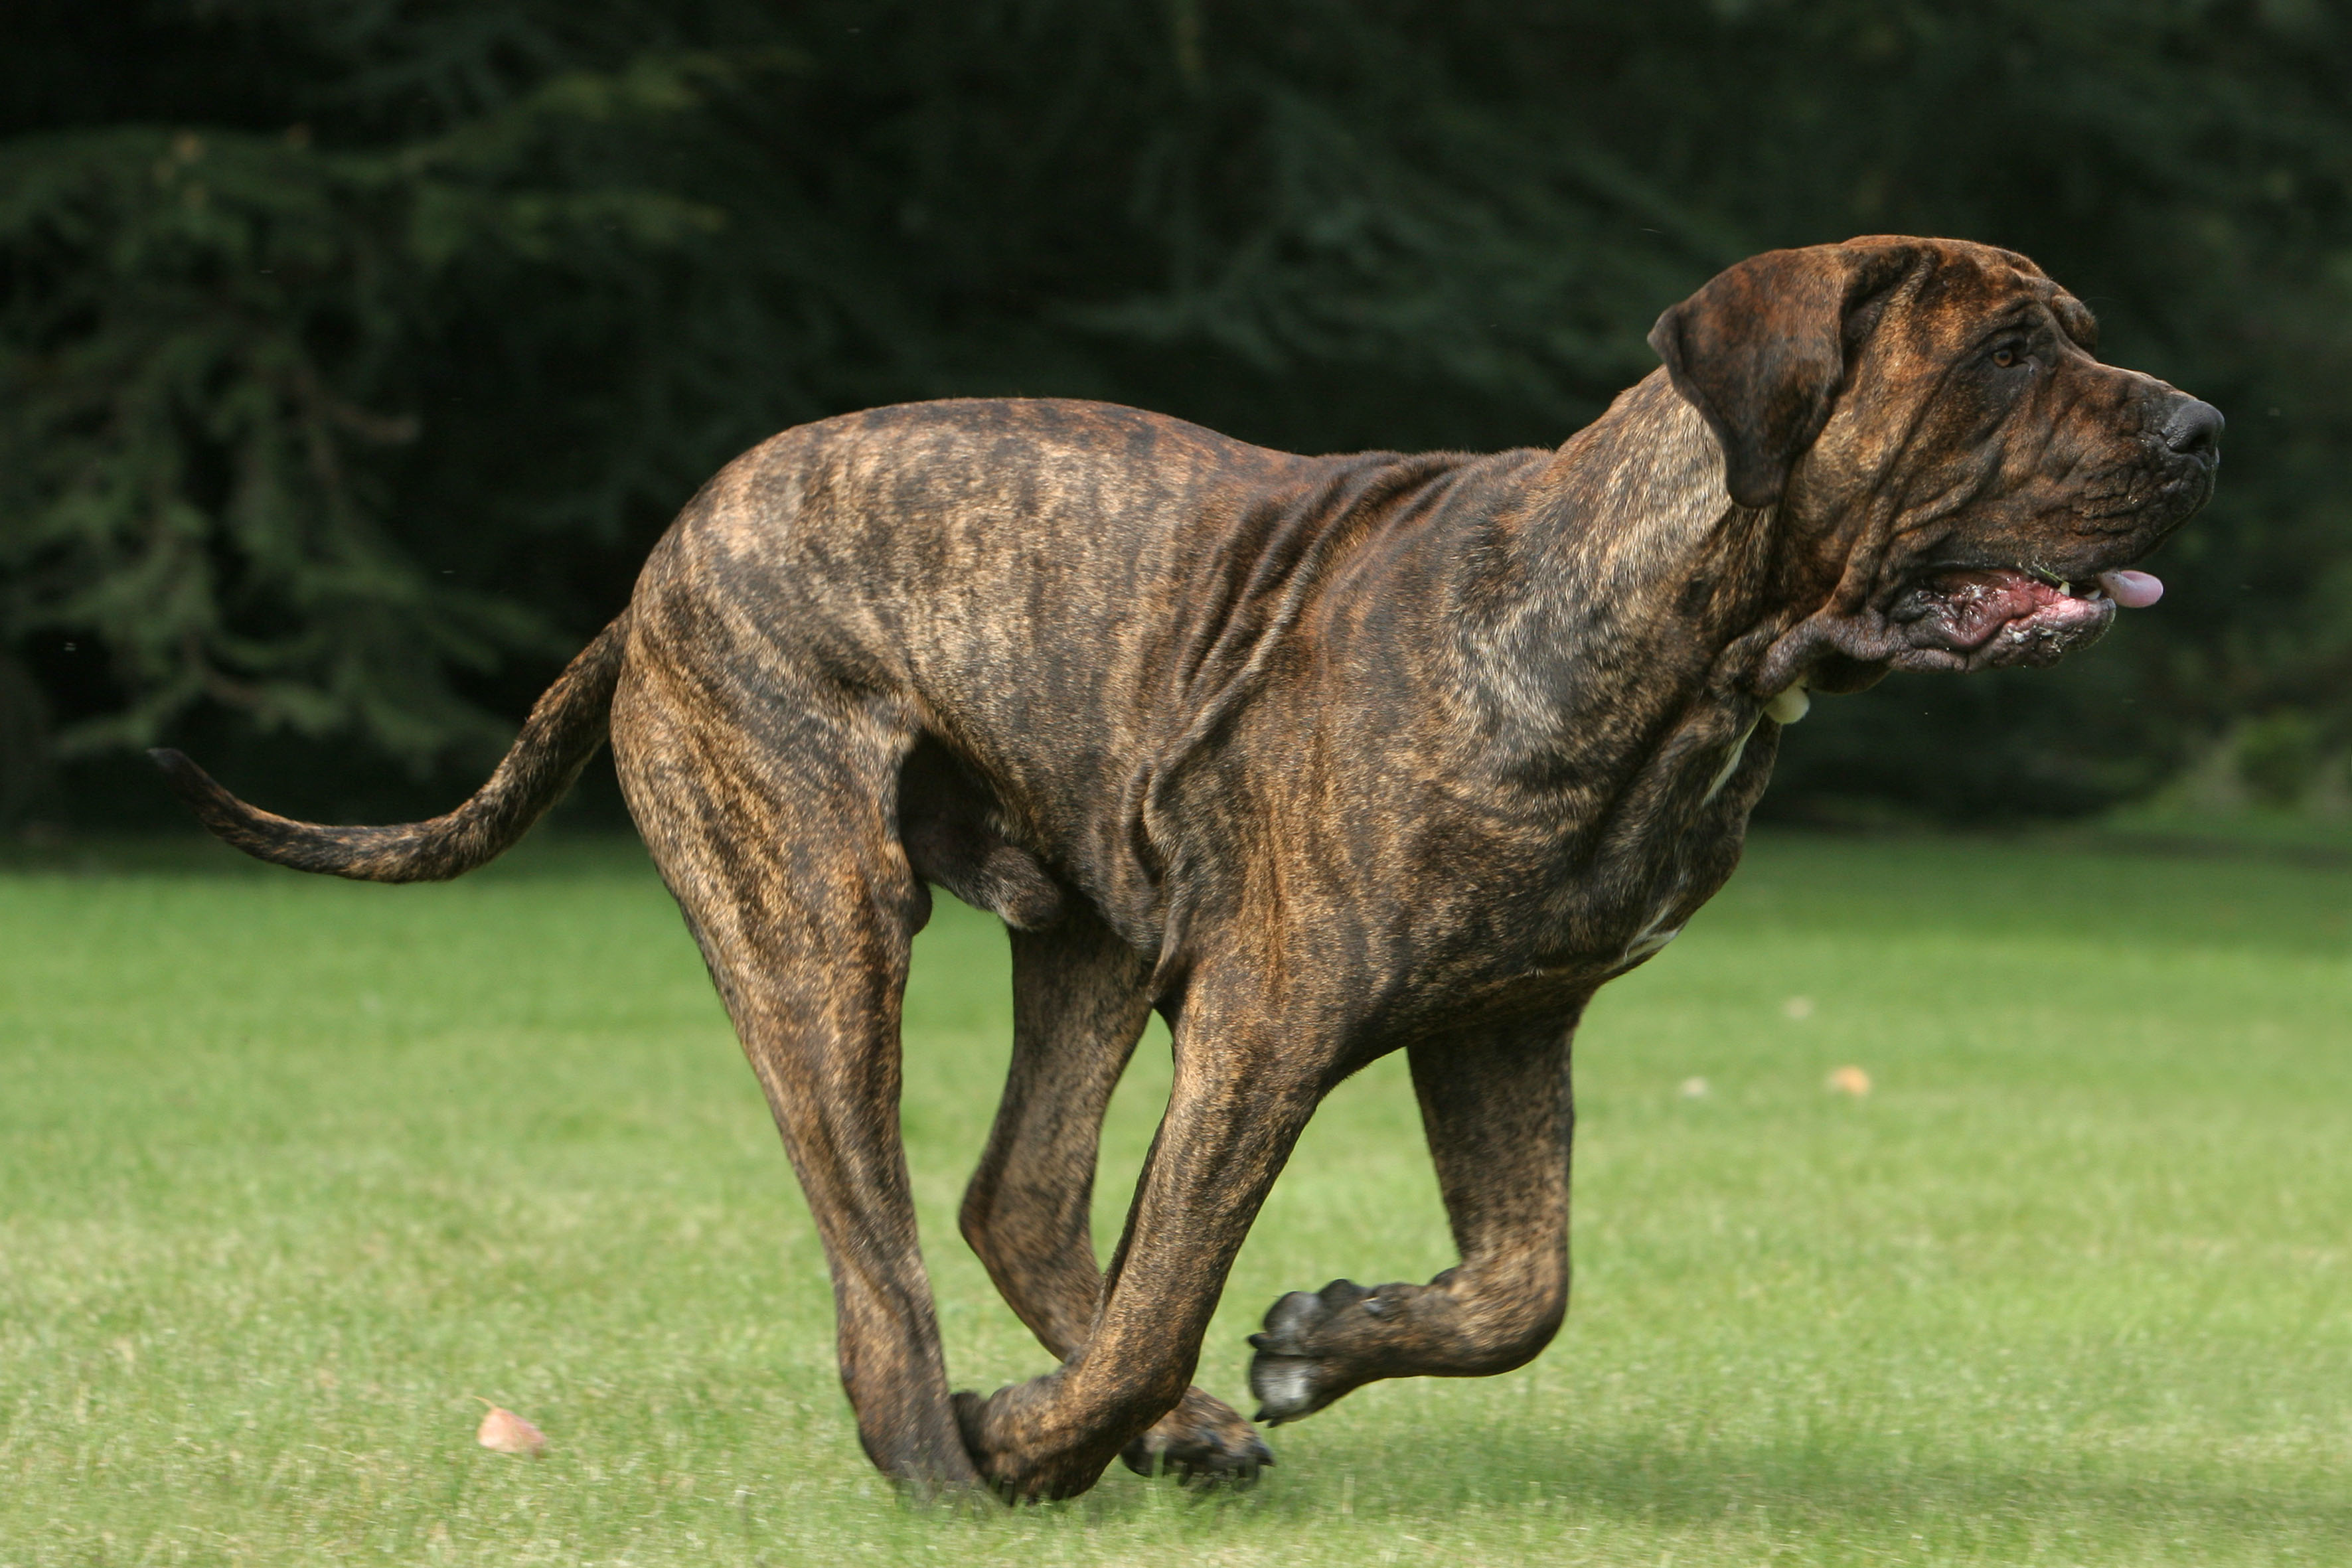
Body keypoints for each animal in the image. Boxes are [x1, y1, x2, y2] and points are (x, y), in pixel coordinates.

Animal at [156, 232, 2211, 1495]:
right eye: (2007, 351)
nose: (2202, 426)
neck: (1683, 643)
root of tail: (656, 568)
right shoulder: (1272, 1014)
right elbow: (1168, 1293)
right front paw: (1052, 1434)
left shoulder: (1503, 1020)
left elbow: (1519, 1284)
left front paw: (1307, 1343)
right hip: (820, 920)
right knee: (883, 1252)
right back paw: (951, 1454)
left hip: (1082, 931)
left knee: (1013, 1194)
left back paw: (1168, 1428)